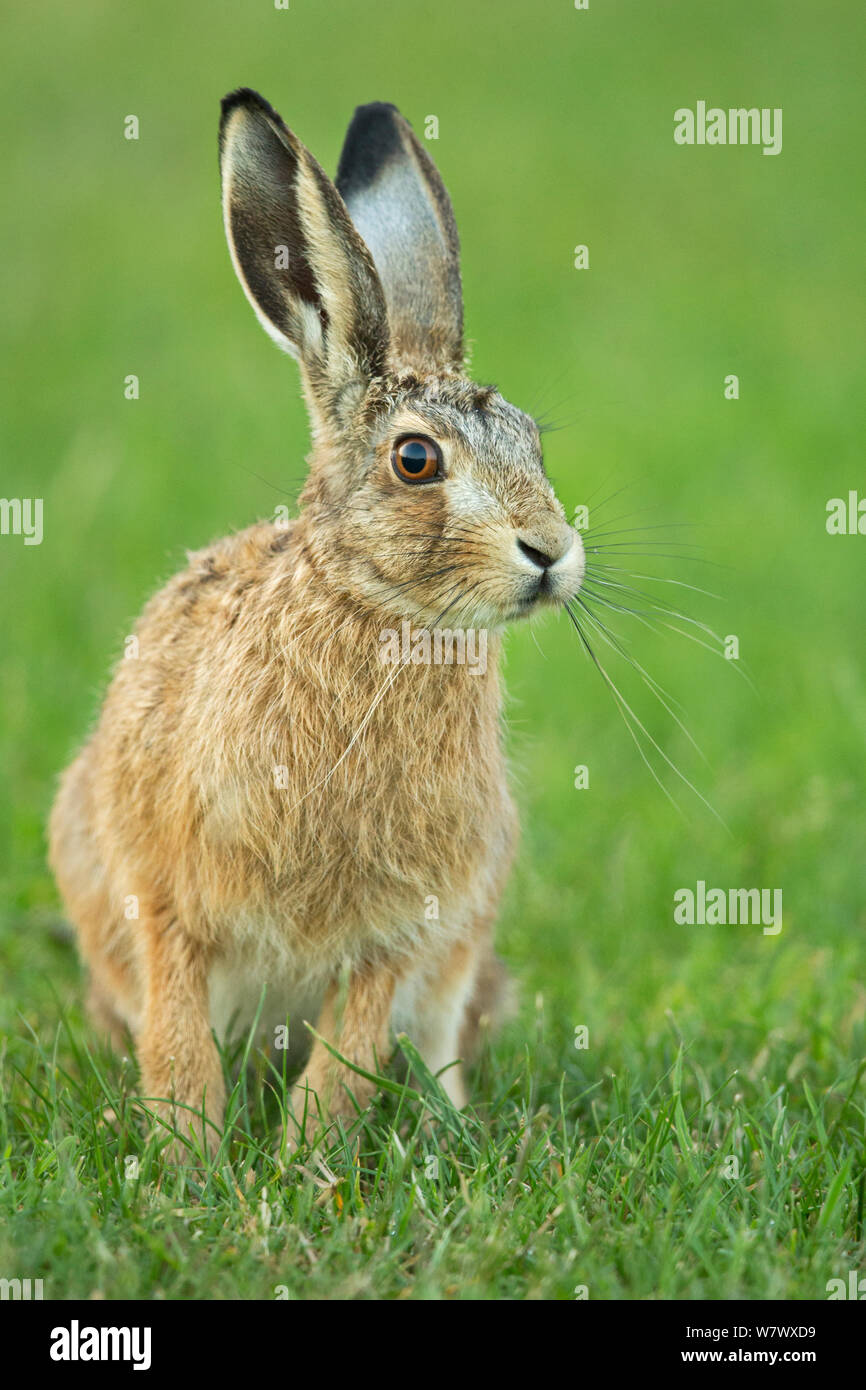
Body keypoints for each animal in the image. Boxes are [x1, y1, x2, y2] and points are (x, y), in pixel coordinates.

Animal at [48, 88, 585, 1159]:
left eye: (534, 445)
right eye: (415, 461)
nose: (552, 552)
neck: (374, 613)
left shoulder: (407, 928)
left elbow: (346, 1060)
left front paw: (301, 1167)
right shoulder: (163, 895)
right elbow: (178, 1040)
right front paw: (190, 1160)